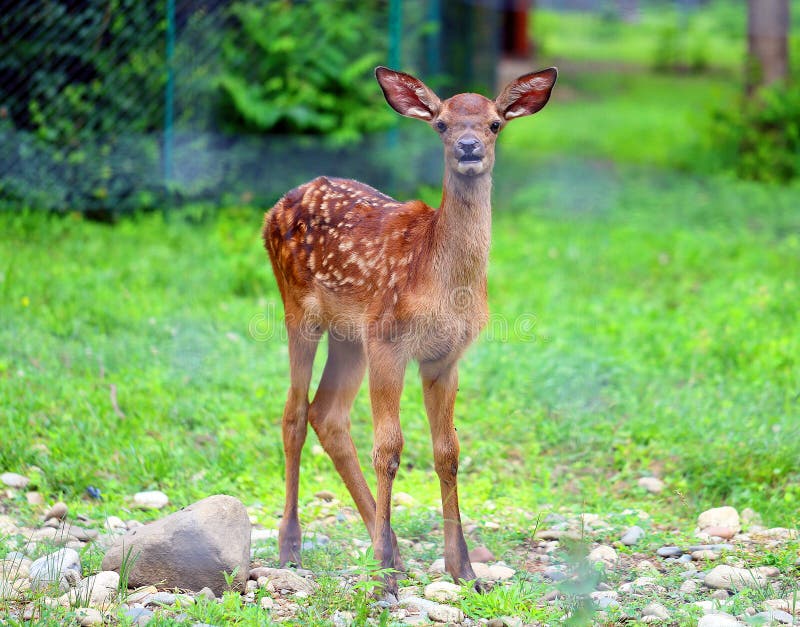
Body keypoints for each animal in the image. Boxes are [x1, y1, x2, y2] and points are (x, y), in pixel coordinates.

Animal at [263, 65, 557, 597]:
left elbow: (448, 452)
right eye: (440, 123)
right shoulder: (389, 341)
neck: (442, 283)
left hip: (349, 336)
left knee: (327, 414)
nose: (468, 146)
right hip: (299, 309)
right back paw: (293, 548)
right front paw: (381, 579)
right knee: (294, 414)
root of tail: (275, 207)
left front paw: (464, 571)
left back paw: (393, 552)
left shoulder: (445, 356)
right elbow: (390, 448)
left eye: (495, 123)